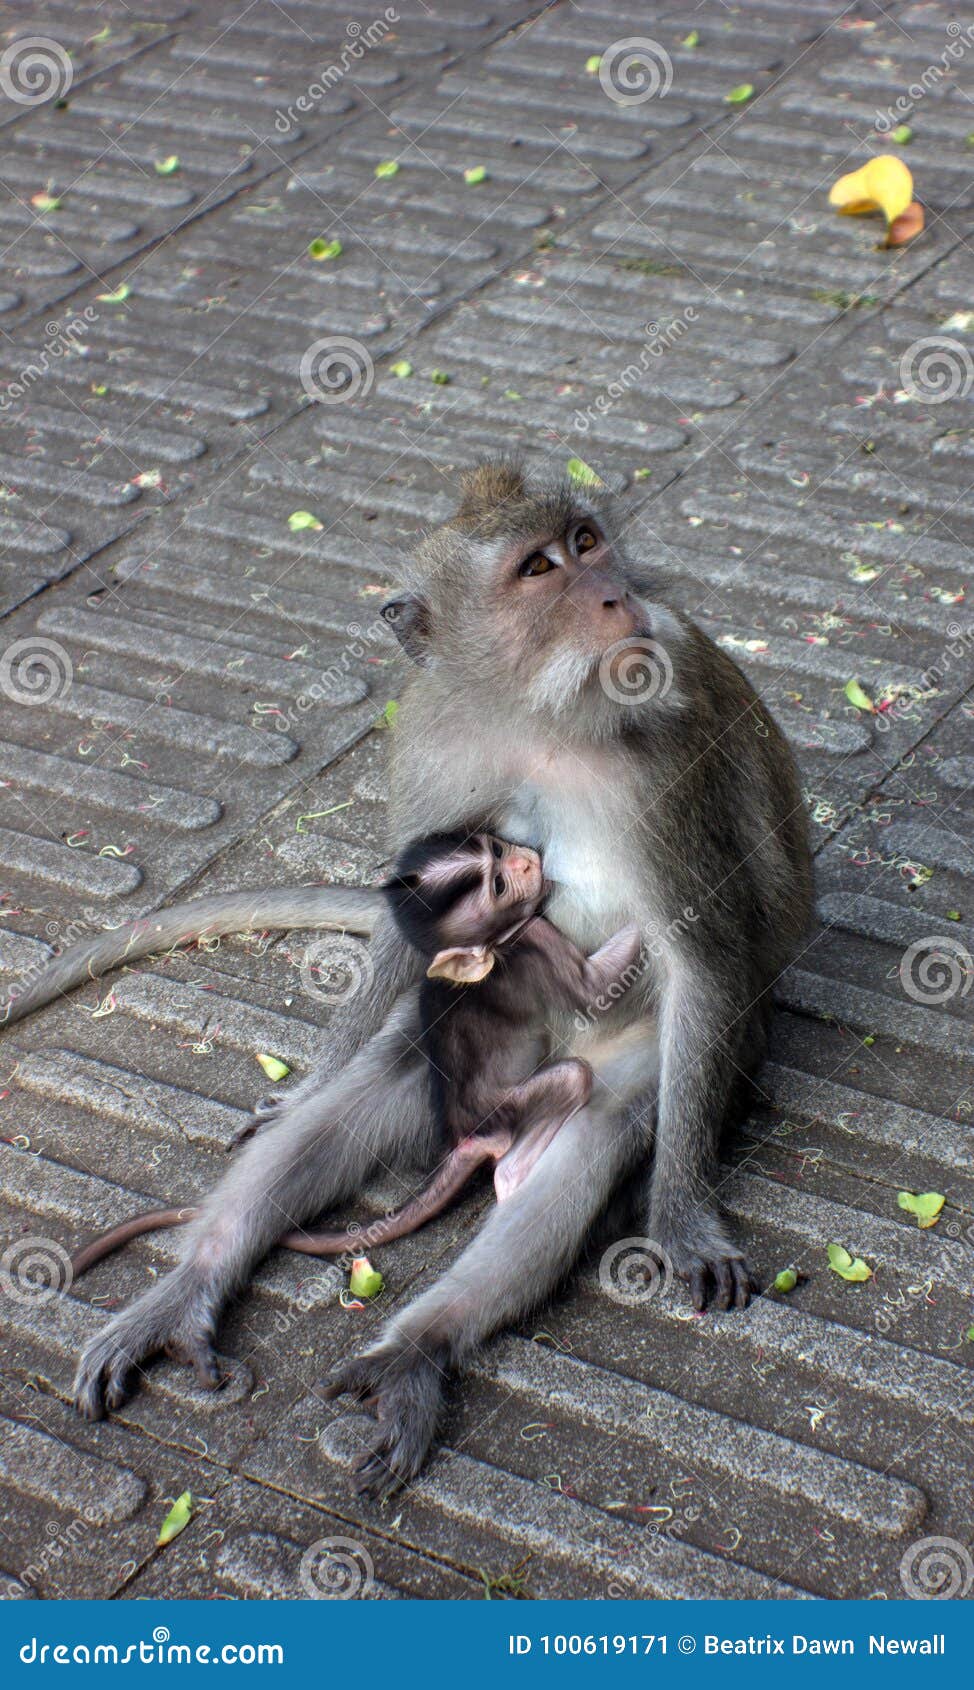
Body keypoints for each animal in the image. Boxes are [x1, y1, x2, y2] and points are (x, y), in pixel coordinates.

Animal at [65, 831, 641, 1279]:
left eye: (498, 850)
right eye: (499, 886)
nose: (525, 860)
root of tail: (465, 1135)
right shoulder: (534, 936)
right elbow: (593, 990)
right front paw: (653, 921)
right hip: (507, 1109)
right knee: (570, 1081)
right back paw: (514, 1172)